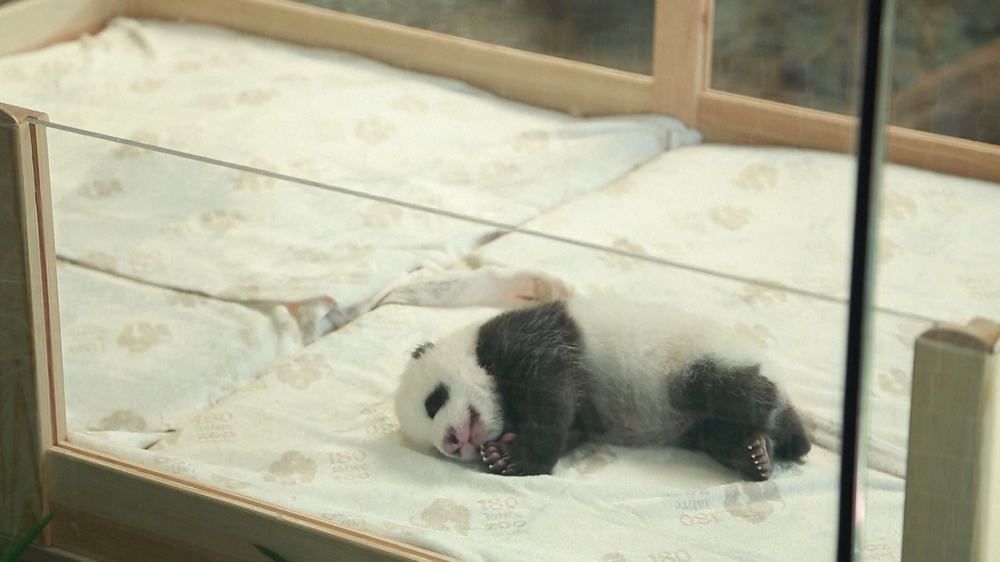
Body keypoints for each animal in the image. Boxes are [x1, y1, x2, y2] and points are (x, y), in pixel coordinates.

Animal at [393, 297, 811, 481]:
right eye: (432, 448)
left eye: (433, 402)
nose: (450, 442)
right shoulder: (586, 414)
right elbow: (571, 424)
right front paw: (499, 452)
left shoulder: (530, 340)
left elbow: (552, 390)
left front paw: (513, 458)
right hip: (697, 420)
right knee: (717, 432)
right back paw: (754, 454)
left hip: (697, 360)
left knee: (736, 393)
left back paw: (793, 438)